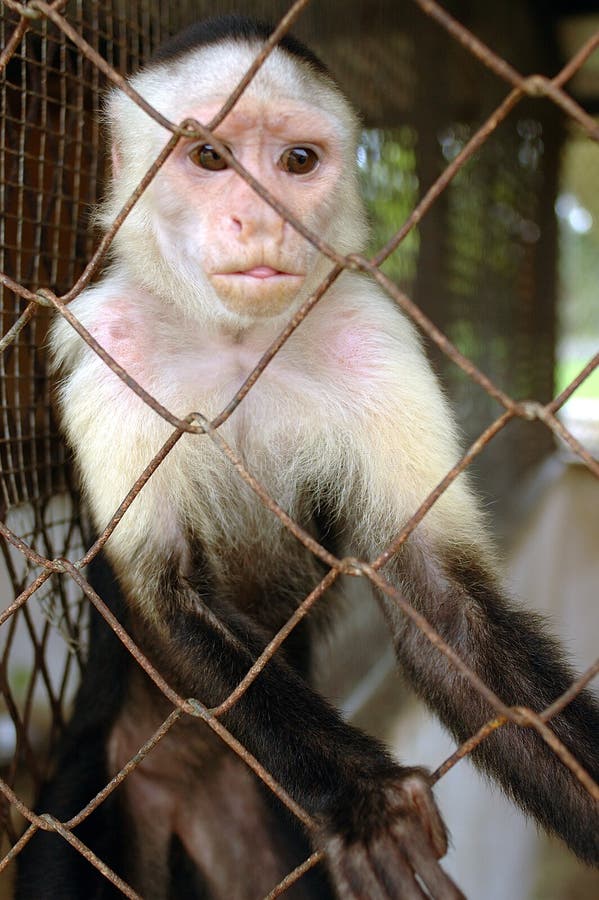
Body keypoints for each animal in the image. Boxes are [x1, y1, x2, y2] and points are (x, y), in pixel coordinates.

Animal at [15, 15, 599, 900]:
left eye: (297, 162)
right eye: (208, 157)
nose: (258, 224)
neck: (236, 342)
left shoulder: (375, 333)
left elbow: (440, 611)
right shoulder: (107, 339)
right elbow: (167, 591)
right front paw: (365, 801)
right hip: (97, 787)